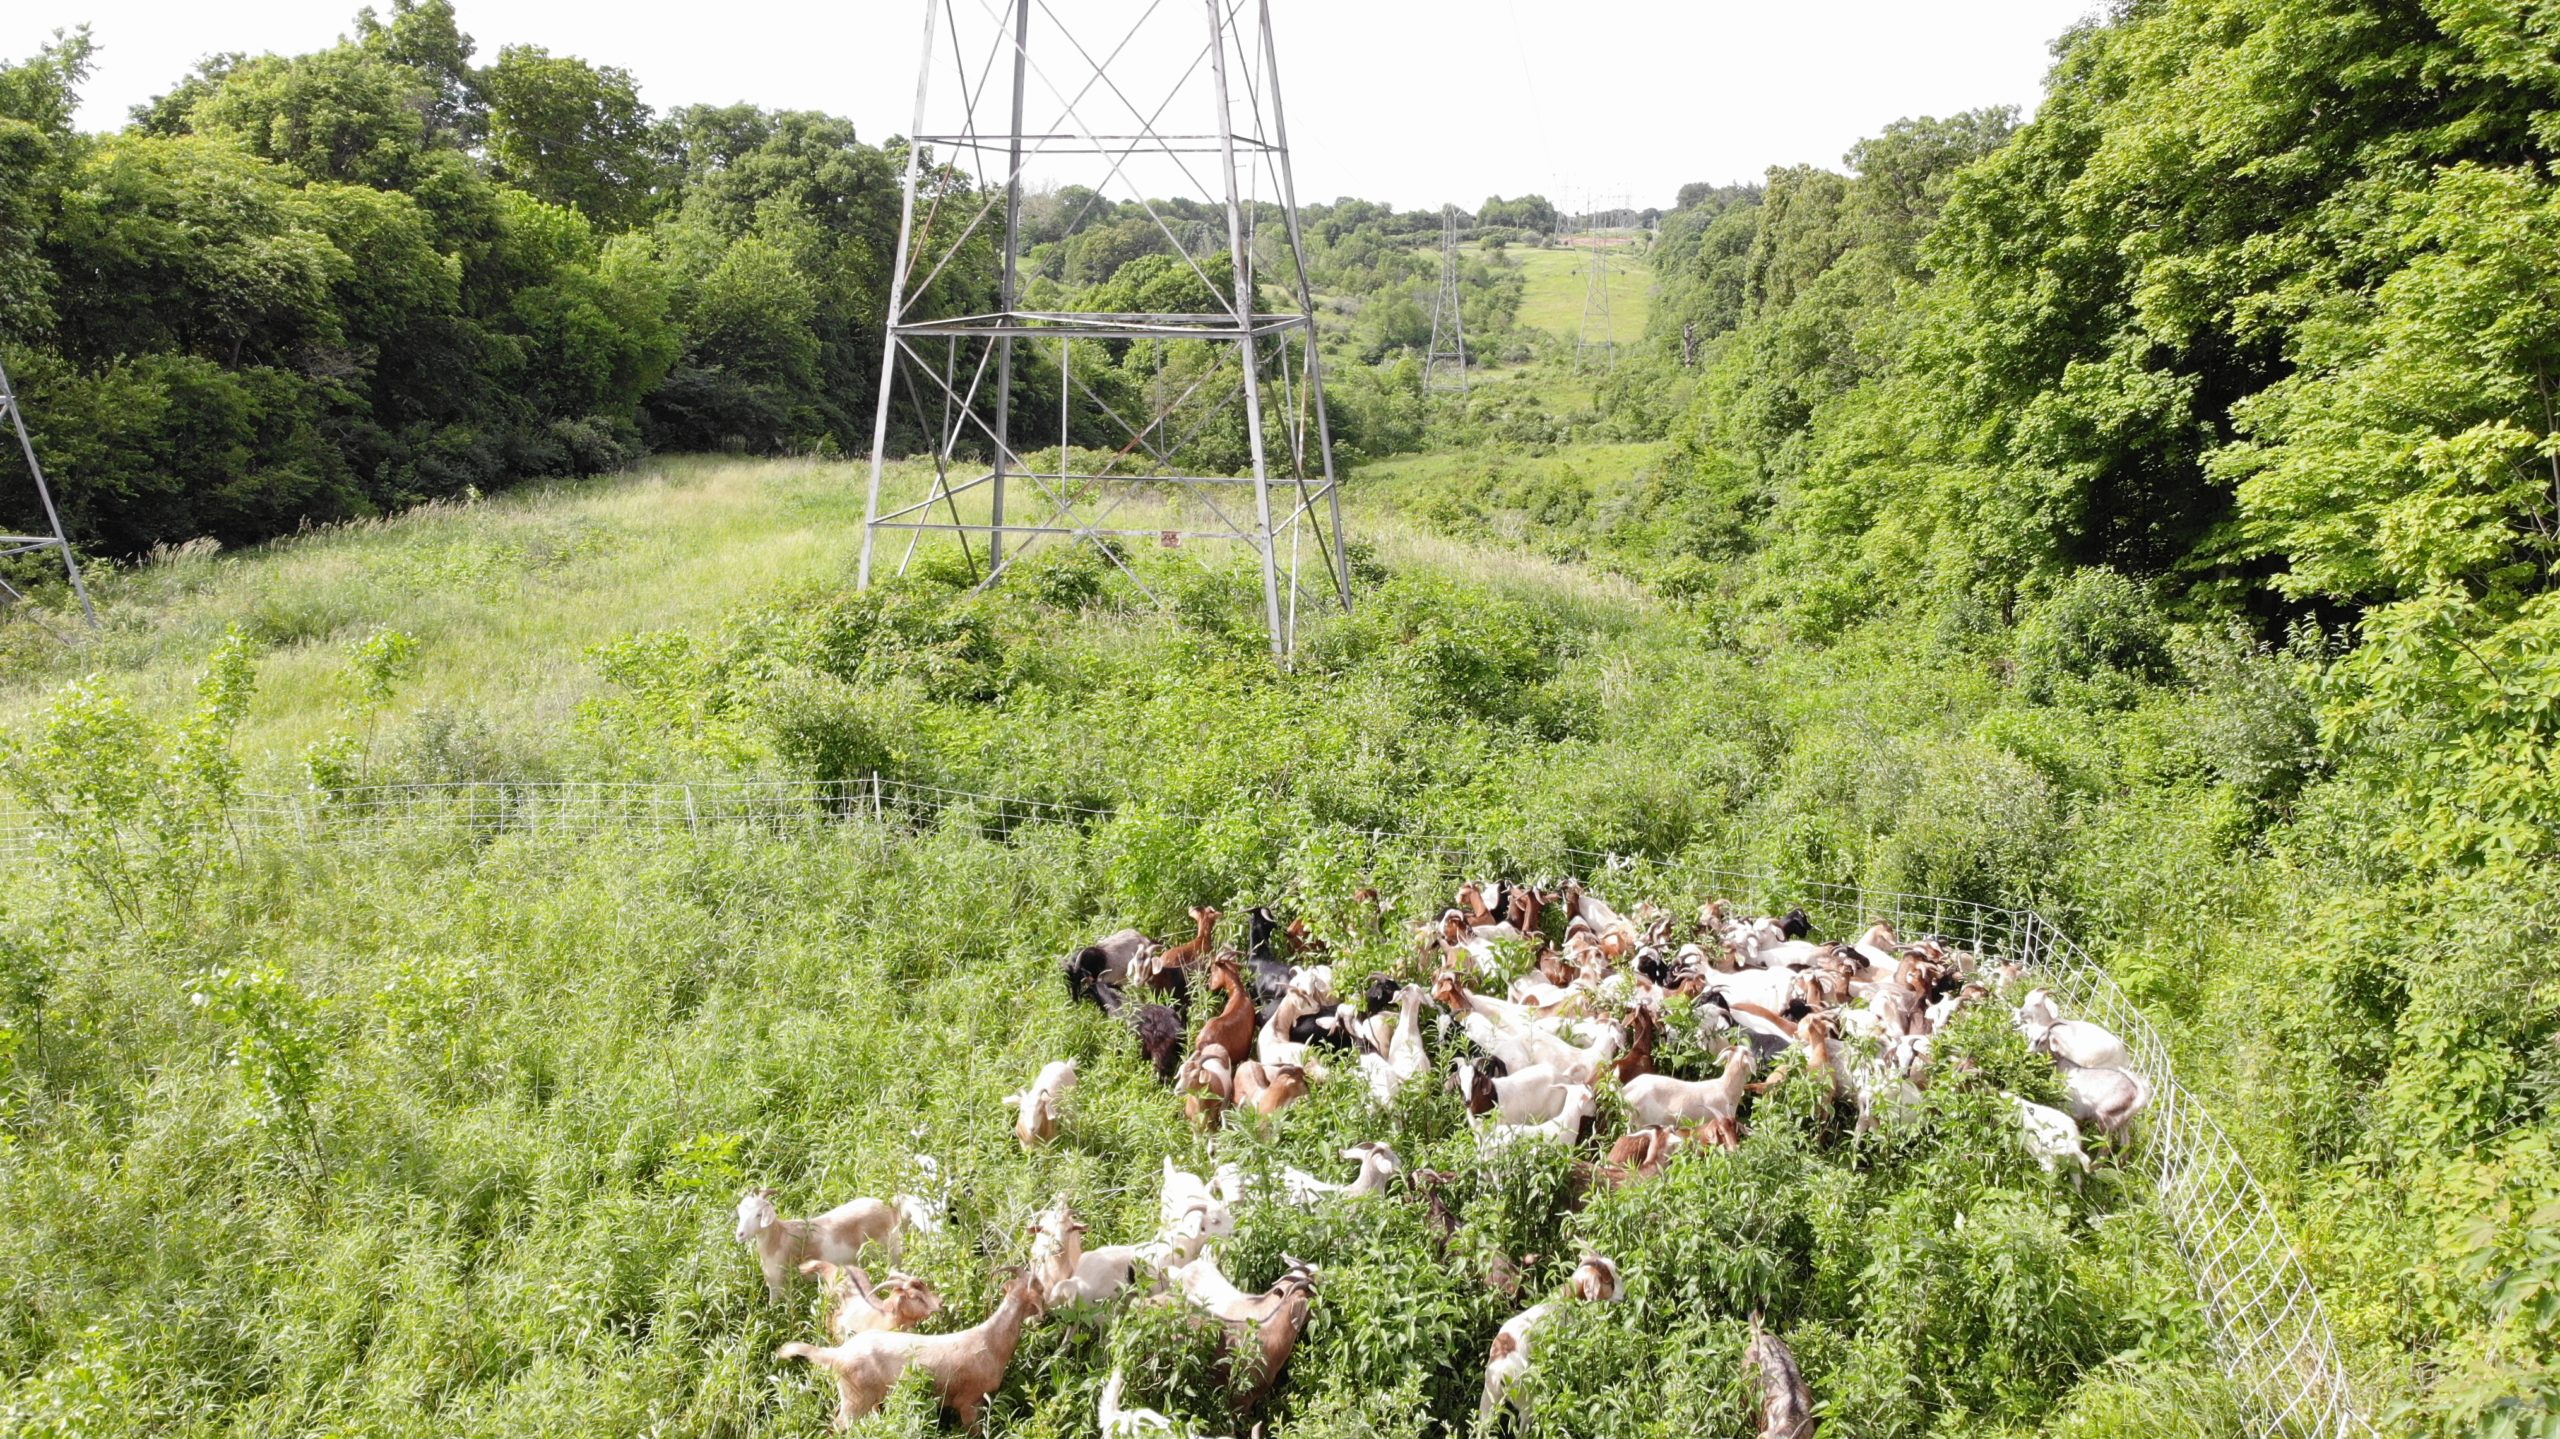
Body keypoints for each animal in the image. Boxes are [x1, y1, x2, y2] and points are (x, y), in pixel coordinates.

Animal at [735, 1189, 936, 1305]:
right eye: (741, 1213)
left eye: (759, 1214)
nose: (740, 1234)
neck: (779, 1238)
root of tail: (892, 1209)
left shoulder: (782, 1285)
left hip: (892, 1251)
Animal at [776, 1267, 1047, 1432]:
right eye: (1039, 1289)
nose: (1048, 1310)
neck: (989, 1342)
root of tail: (838, 1355)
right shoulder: (968, 1401)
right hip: (855, 1399)